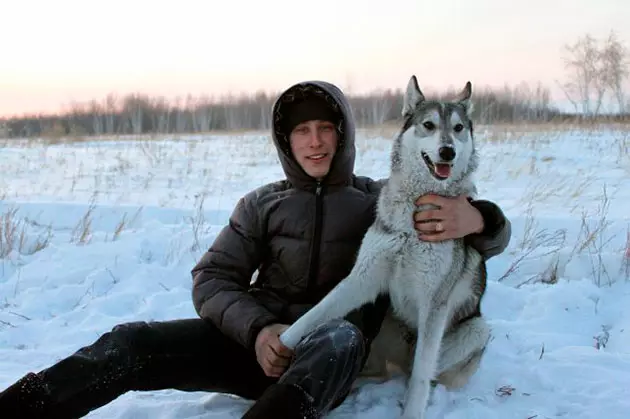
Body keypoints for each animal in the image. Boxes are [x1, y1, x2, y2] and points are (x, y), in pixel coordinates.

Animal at [282, 76, 494, 419]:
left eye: (459, 128)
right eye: (428, 125)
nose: (447, 151)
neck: (414, 218)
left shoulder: (435, 303)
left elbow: (421, 374)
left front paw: (412, 412)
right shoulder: (363, 278)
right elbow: (313, 315)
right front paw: (279, 343)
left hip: (476, 329)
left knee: (419, 370)